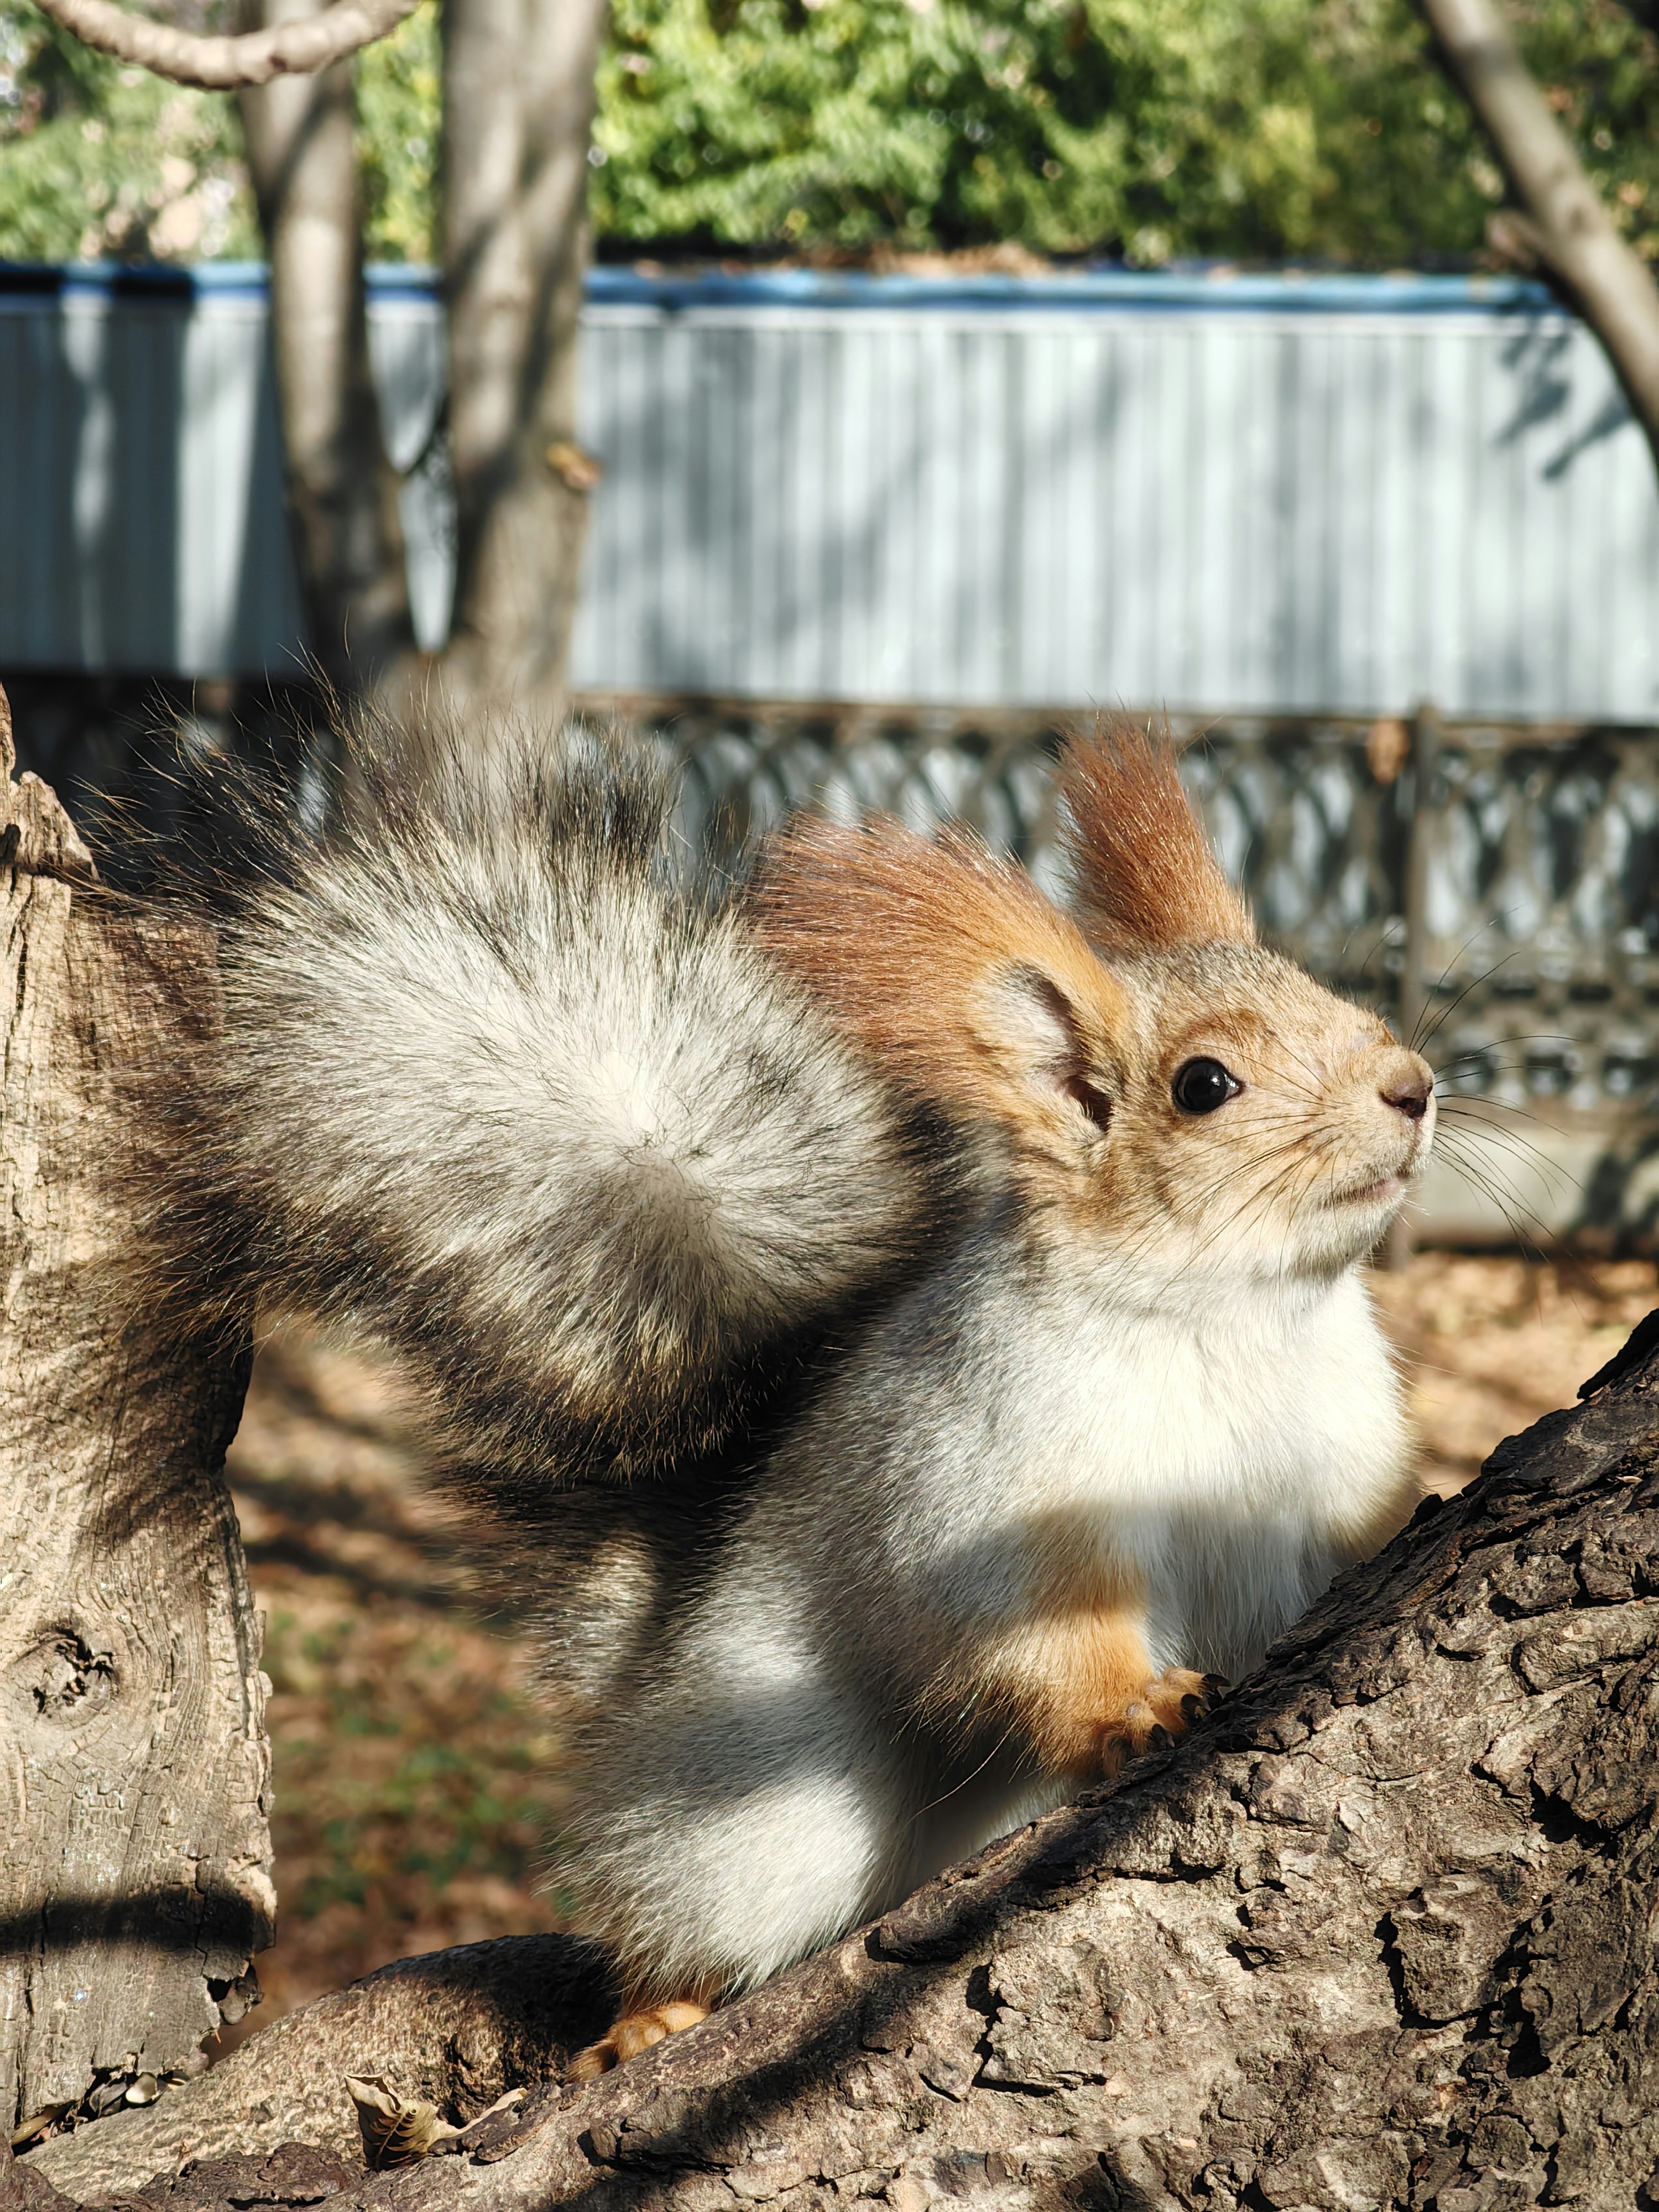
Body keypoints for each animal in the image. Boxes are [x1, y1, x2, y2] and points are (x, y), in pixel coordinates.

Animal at [138, 716, 1435, 2078]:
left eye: (1329, 990)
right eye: (1205, 1085)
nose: (1412, 1083)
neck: (1241, 1321)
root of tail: (645, 1666)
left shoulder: (1334, 1476)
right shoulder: (990, 1477)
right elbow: (1034, 1632)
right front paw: (1134, 1707)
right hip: (762, 1800)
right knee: (676, 1912)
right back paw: (651, 2012)